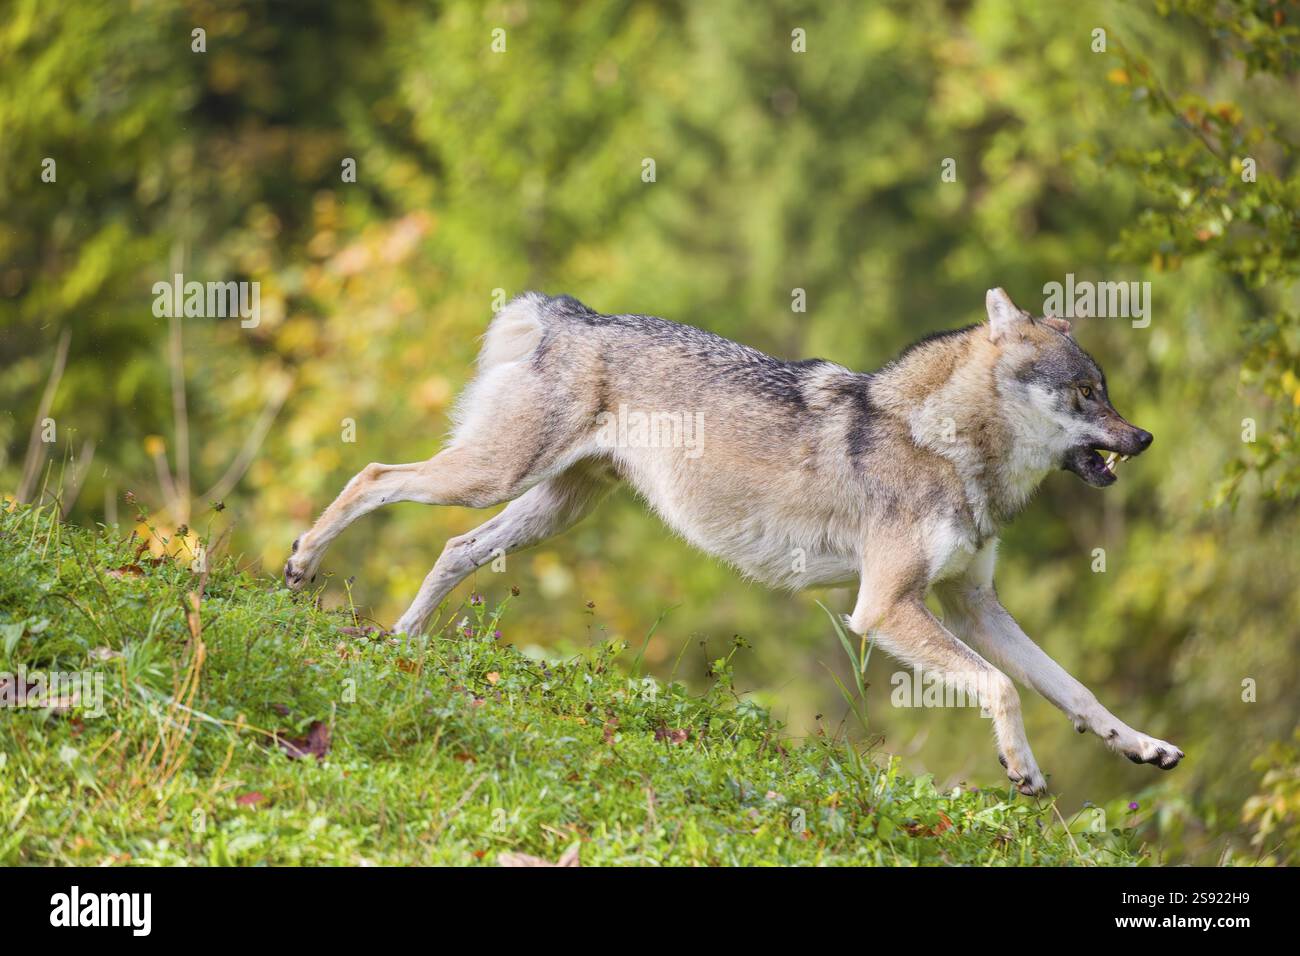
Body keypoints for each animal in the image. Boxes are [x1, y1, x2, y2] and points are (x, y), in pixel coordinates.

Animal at [284, 288, 1182, 794]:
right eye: (1086, 392)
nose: (1144, 438)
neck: (944, 444)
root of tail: (573, 315)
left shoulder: (974, 605)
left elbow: (1074, 692)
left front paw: (1142, 746)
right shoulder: (884, 609)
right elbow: (1002, 689)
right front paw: (1023, 770)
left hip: (545, 511)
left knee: (452, 550)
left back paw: (403, 645)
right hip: (489, 478)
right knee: (371, 473)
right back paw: (298, 569)